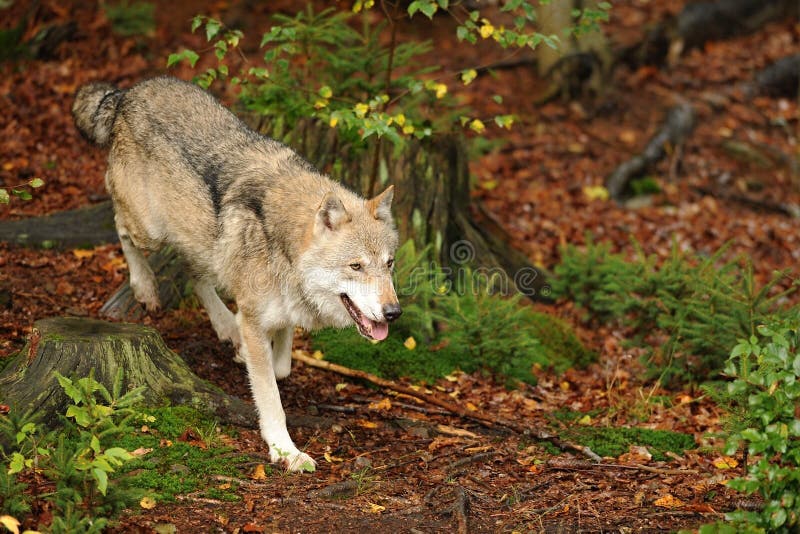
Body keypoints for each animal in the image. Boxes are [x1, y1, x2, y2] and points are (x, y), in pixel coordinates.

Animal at [72, 76, 402, 471]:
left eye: (389, 263)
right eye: (355, 266)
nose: (393, 313)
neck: (284, 247)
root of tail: (126, 93)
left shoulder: (276, 312)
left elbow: (281, 365)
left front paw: (246, 351)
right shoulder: (257, 316)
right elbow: (271, 396)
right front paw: (285, 451)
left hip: (200, 241)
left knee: (193, 273)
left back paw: (225, 326)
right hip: (149, 229)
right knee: (120, 226)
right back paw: (146, 288)